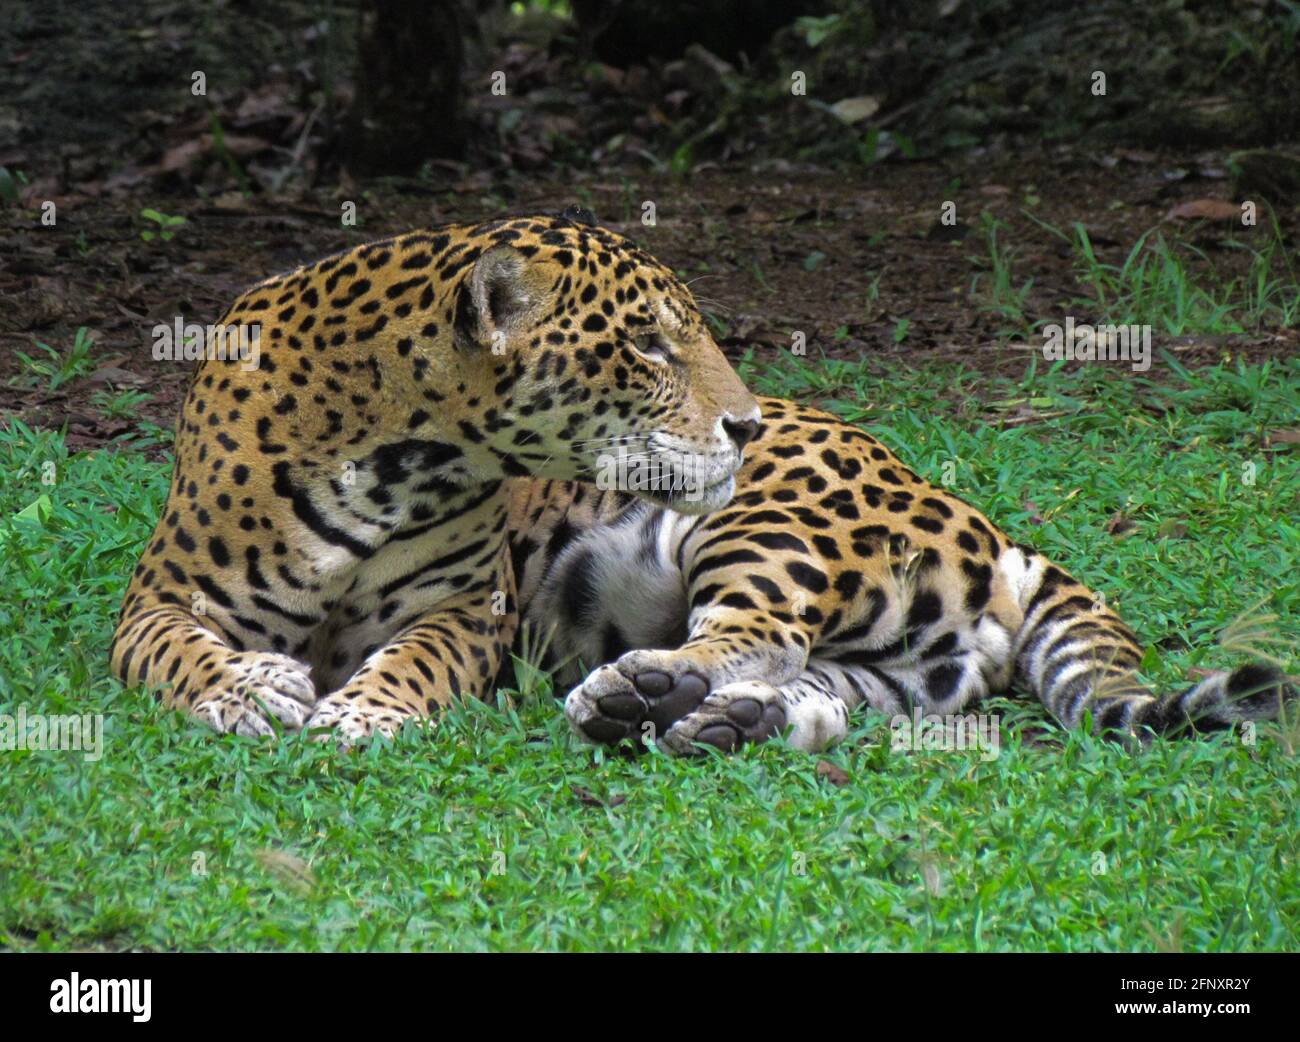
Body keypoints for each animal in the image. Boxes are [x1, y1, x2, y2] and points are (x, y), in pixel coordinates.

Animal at [111, 209, 762, 742]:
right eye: (646, 346)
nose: (748, 425)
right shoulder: (160, 595)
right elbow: (177, 650)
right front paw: (250, 690)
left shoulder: (467, 605)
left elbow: (416, 659)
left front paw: (362, 713)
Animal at [510, 395, 1295, 755]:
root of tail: (1007, 544)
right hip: (913, 671)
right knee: (826, 691)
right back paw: (731, 720)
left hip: (759, 528)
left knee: (764, 636)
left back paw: (643, 690)